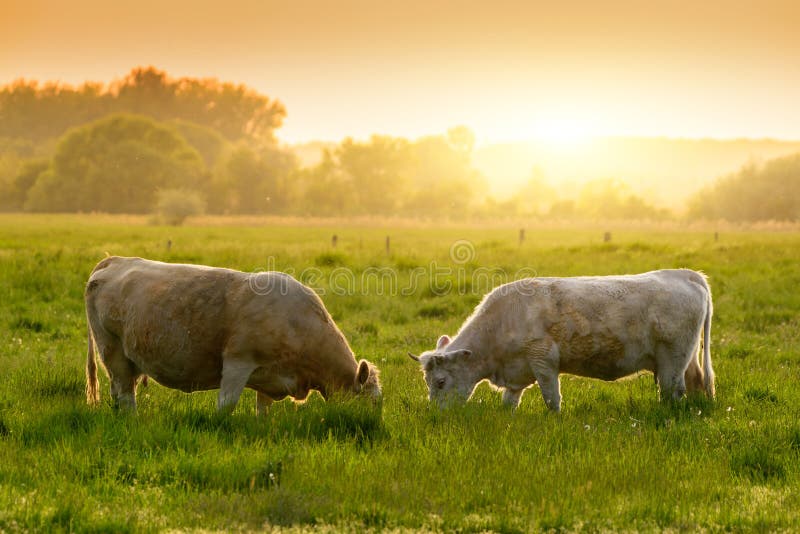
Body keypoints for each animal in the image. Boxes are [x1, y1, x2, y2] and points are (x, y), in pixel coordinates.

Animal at [85, 256, 381, 414]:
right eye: (372, 403)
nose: (375, 430)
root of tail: (115, 260)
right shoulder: (238, 362)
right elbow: (225, 406)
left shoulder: (271, 377)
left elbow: (263, 411)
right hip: (112, 350)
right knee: (125, 393)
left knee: (119, 391)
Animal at [408, 269, 715, 412]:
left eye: (440, 382)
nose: (435, 414)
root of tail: (686, 274)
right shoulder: (517, 373)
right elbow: (510, 402)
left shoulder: (542, 360)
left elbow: (551, 398)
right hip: (686, 360)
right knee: (697, 383)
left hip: (672, 363)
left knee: (673, 392)